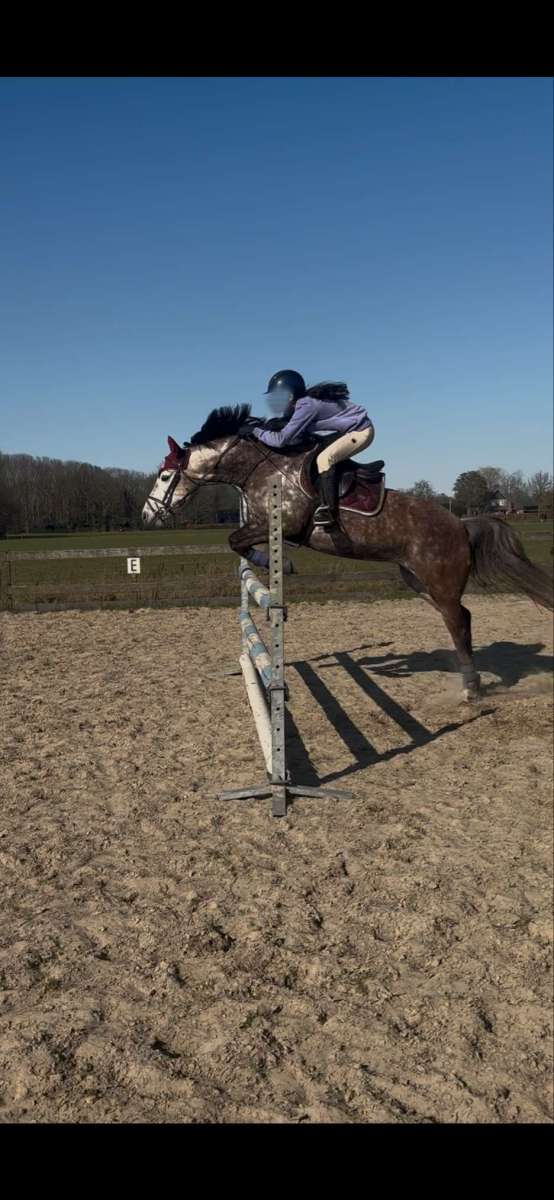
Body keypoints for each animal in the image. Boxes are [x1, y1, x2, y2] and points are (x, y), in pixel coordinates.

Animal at [142, 404, 553, 701]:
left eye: (165, 476)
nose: (147, 515)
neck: (259, 469)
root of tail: (461, 524)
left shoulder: (285, 524)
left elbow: (236, 540)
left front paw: (280, 564)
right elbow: (237, 542)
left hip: (441, 584)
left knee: (458, 621)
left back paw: (470, 689)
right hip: (419, 582)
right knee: (461, 619)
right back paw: (472, 682)